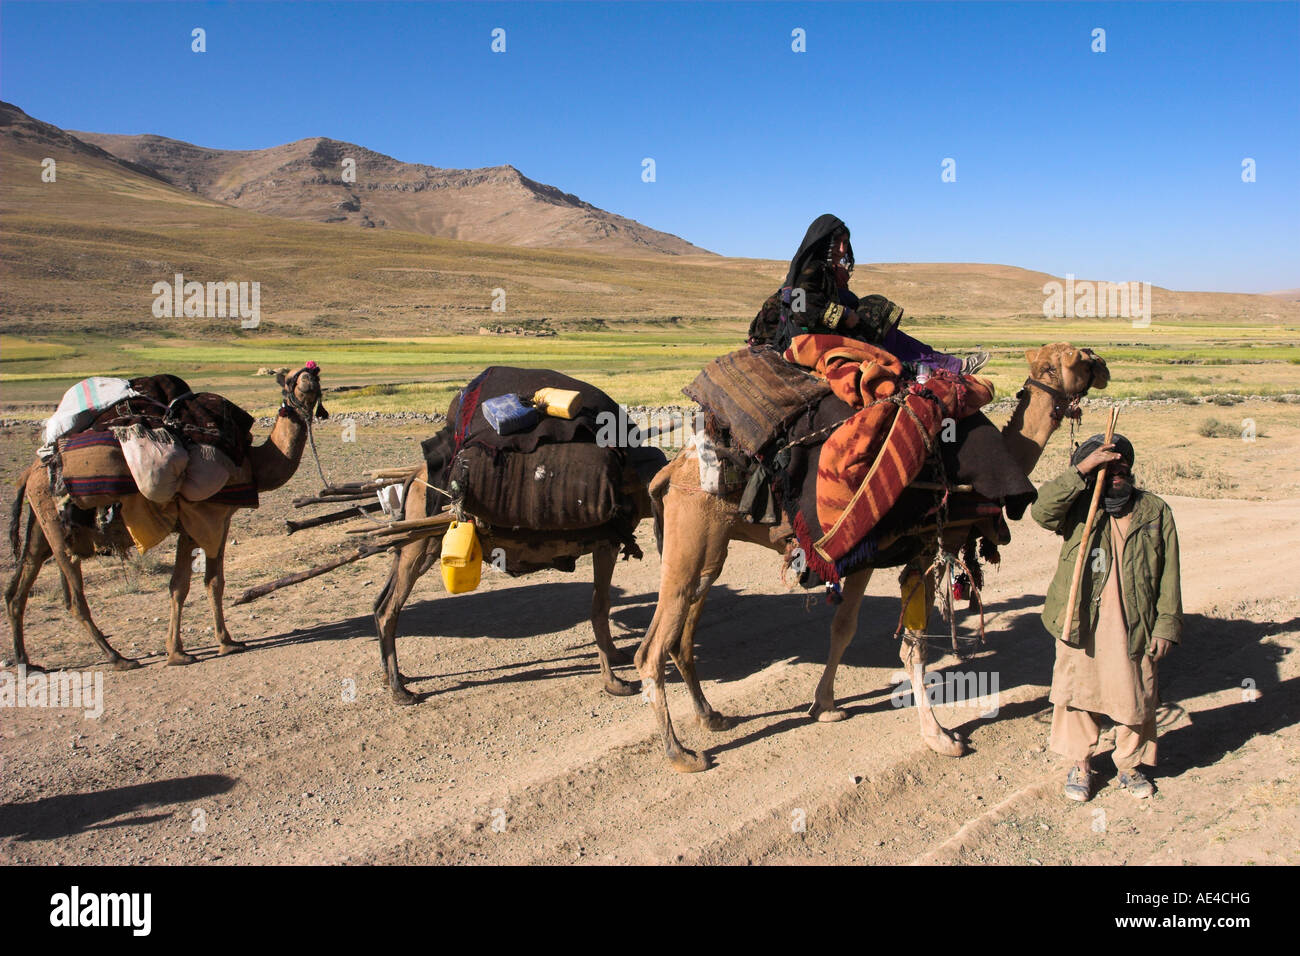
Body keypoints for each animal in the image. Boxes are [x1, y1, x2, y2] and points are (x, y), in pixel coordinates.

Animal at [6, 365, 327, 671]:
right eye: (289, 378)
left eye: (314, 373)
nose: (308, 381)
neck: (251, 465)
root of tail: (30, 472)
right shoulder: (202, 517)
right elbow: (188, 584)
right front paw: (187, 651)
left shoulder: (218, 521)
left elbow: (208, 581)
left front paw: (218, 642)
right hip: (57, 527)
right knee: (74, 599)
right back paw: (118, 658)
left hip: (42, 527)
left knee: (19, 586)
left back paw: (25, 661)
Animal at [634, 343, 1110, 772]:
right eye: (1066, 362)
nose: (1100, 364)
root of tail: (671, 470)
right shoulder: (923, 548)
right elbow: (914, 648)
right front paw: (940, 737)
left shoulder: (863, 555)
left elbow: (843, 629)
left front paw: (824, 705)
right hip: (693, 534)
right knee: (652, 648)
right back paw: (681, 753)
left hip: (709, 549)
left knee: (681, 635)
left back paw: (711, 717)